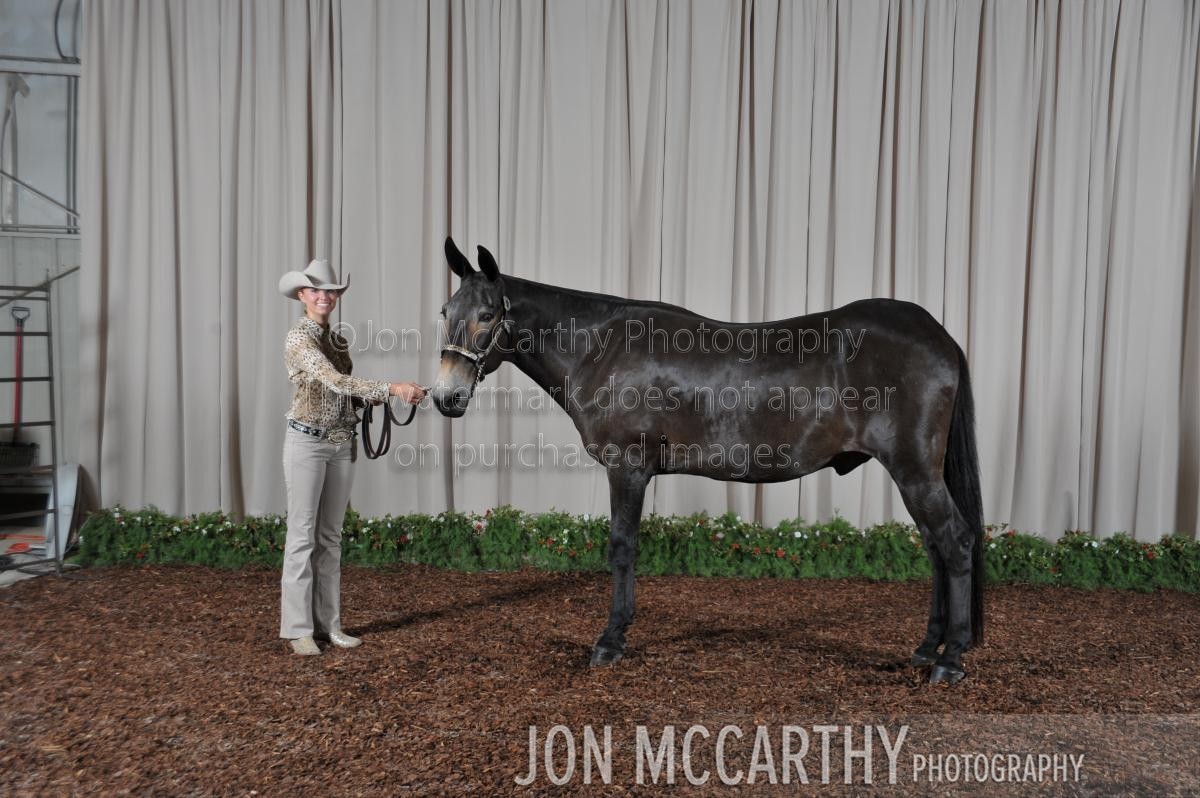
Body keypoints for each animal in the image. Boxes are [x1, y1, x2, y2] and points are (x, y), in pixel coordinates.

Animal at [431, 238, 984, 684]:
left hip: (914, 469)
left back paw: (950, 659)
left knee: (954, 542)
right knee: (936, 547)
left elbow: (622, 547)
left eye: (488, 314)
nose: (445, 396)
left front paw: (611, 641)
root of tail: (939, 336)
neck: (599, 347)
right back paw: (926, 648)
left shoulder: (627, 465)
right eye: (444, 310)